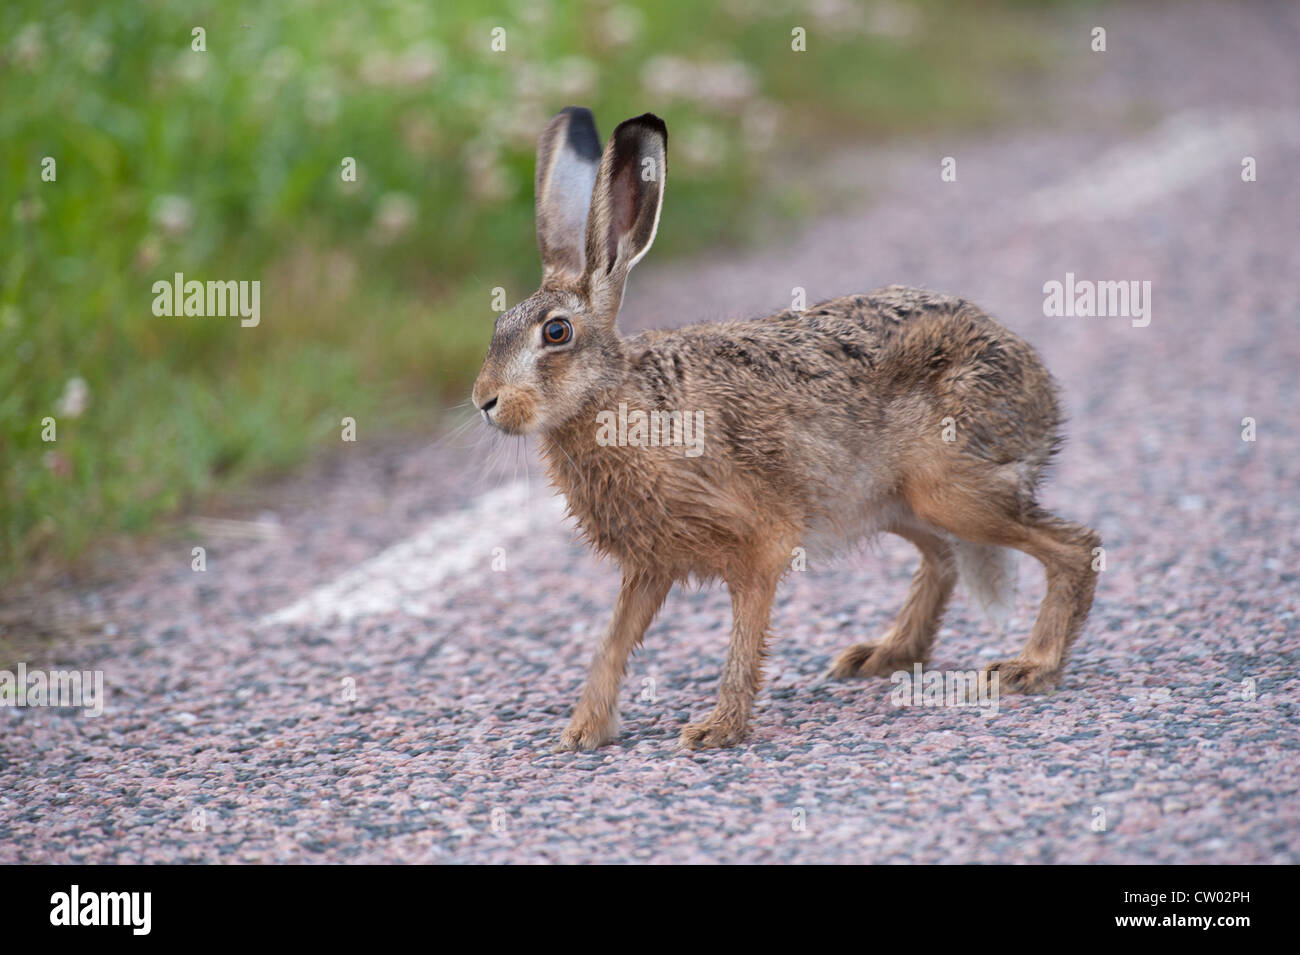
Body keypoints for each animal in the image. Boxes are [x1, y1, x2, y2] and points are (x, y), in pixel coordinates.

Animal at [471, 107, 1101, 751]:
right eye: (496, 328)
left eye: (556, 333)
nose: (485, 401)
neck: (619, 397)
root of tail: (1037, 383)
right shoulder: (650, 563)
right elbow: (614, 640)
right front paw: (583, 733)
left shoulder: (758, 541)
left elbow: (744, 635)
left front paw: (717, 729)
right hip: (889, 502)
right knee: (944, 557)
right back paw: (883, 654)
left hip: (949, 488)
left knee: (1075, 548)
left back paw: (1031, 665)